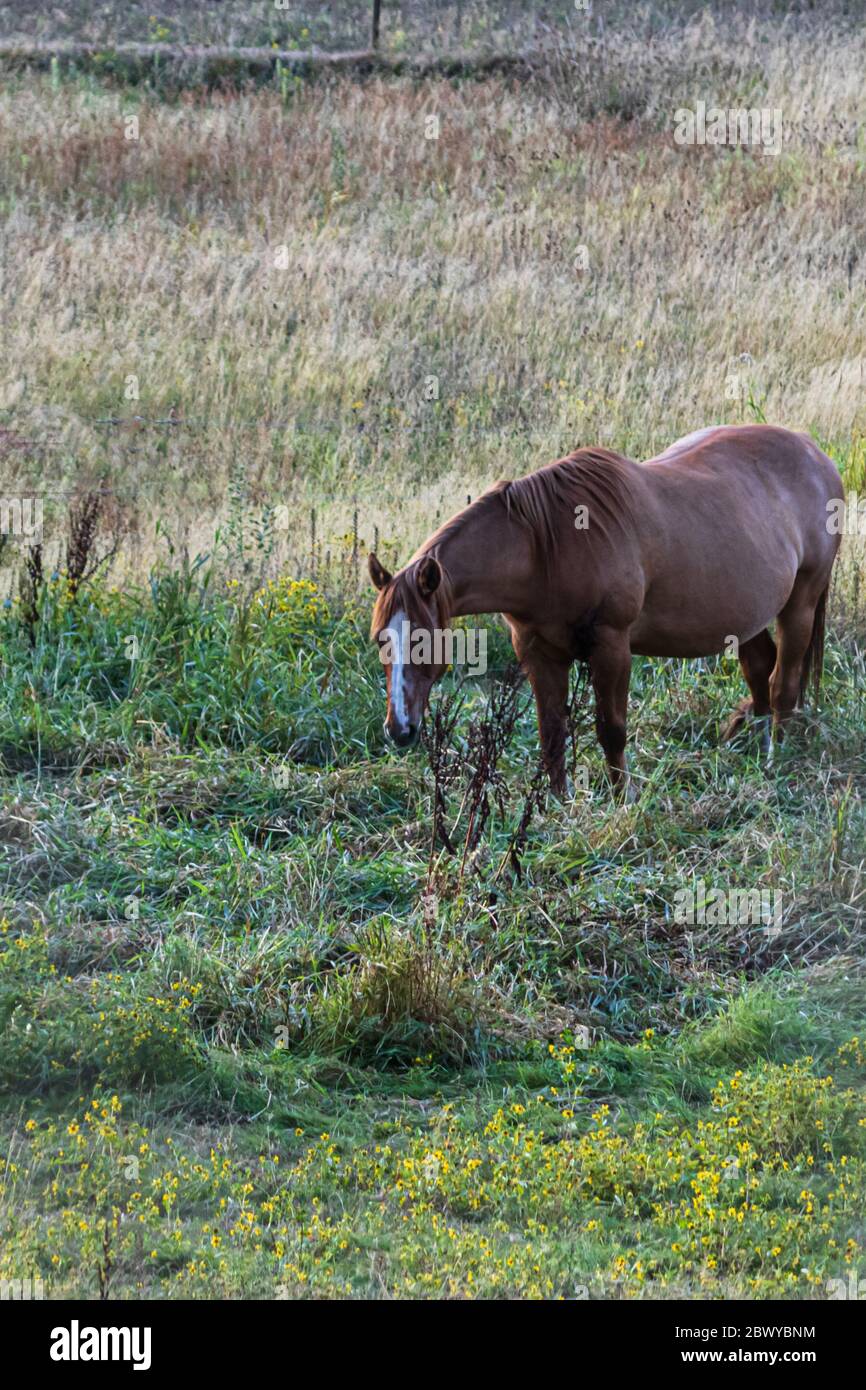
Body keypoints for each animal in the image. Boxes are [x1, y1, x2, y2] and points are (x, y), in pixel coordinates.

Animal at [369, 425, 842, 796]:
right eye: (380, 641)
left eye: (421, 639)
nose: (398, 730)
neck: (546, 547)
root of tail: (814, 453)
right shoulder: (537, 651)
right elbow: (551, 732)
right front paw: (556, 806)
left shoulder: (612, 645)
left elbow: (611, 728)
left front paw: (621, 799)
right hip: (746, 614)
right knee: (760, 670)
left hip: (801, 603)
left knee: (783, 684)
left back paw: (775, 757)